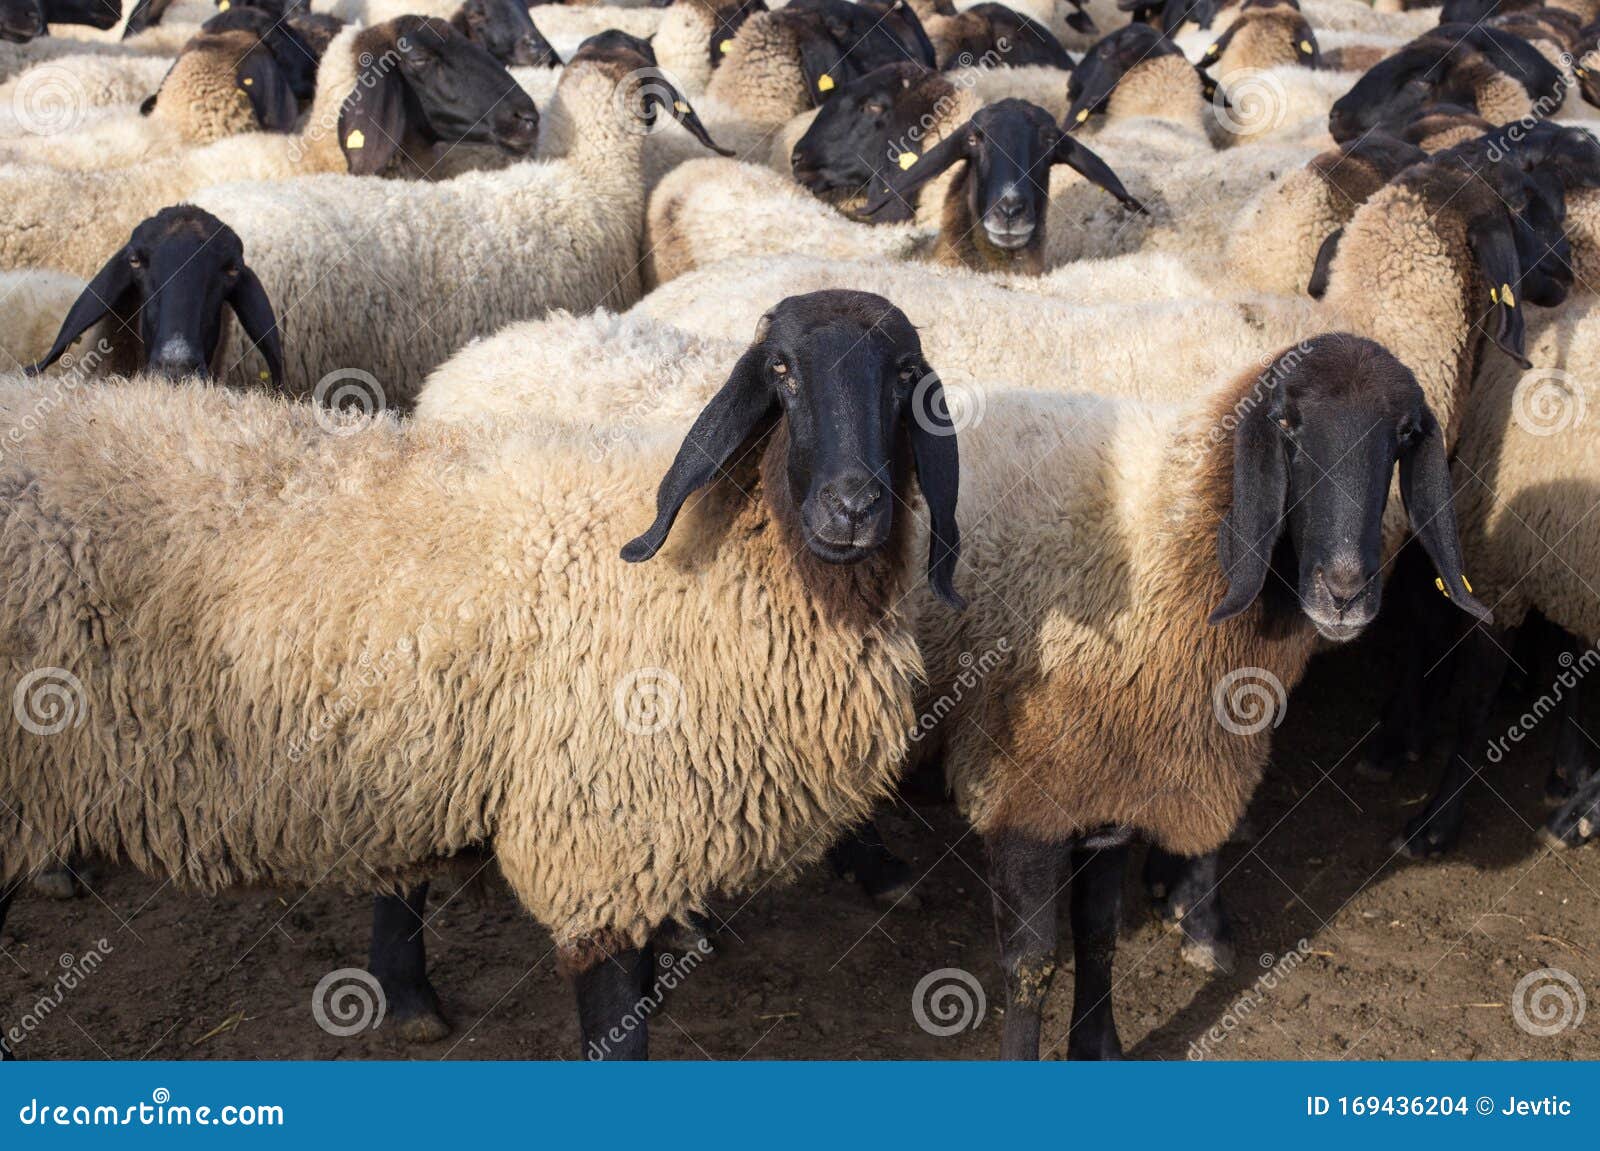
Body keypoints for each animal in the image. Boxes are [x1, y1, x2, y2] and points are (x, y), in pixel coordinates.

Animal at [0, 288, 965, 1059]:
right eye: (782, 372)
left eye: (905, 375)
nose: (852, 506)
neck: (730, 559)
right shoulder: (601, 833)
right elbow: (618, 1028)